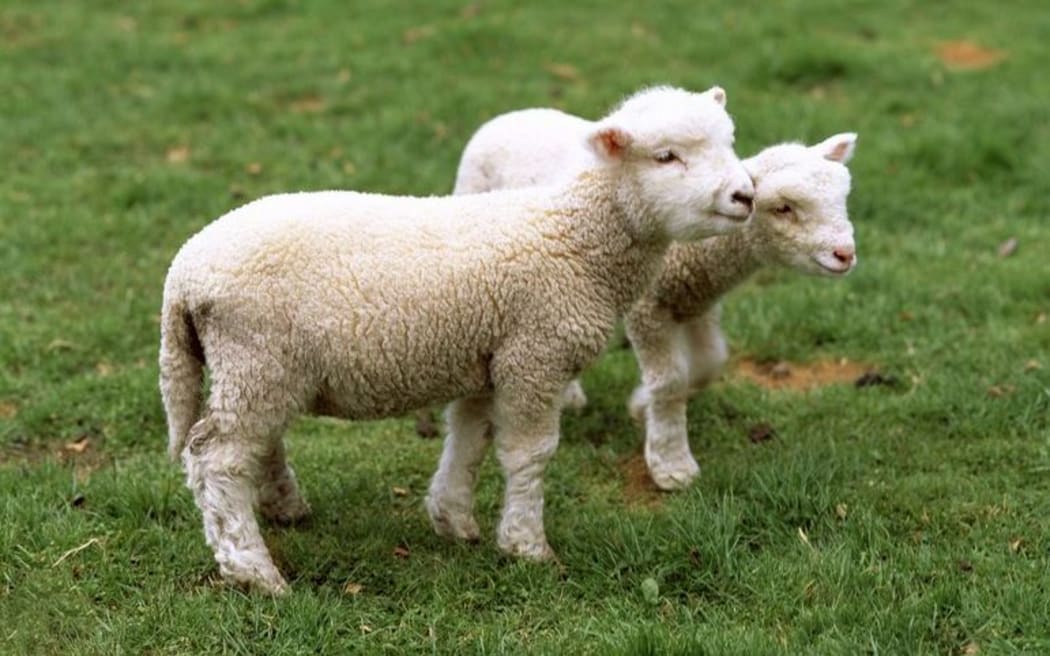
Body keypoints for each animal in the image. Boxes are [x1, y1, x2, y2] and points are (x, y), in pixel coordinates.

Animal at [159, 85, 755, 594]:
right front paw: (526, 545)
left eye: (729, 142)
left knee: (256, 443)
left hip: (263, 369)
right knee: (217, 459)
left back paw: (284, 506)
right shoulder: (534, 357)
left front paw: (452, 519)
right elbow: (529, 454)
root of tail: (183, 274)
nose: (744, 195)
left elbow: (469, 440)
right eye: (666, 157)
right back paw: (252, 569)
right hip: (255, 358)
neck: (575, 237)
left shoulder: (485, 359)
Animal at [440, 105, 856, 498]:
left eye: (841, 200)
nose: (846, 254)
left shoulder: (697, 299)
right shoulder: (648, 308)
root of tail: (511, 115)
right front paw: (670, 461)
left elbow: (709, 362)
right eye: (783, 208)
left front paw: (644, 404)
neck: (701, 252)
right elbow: (670, 379)